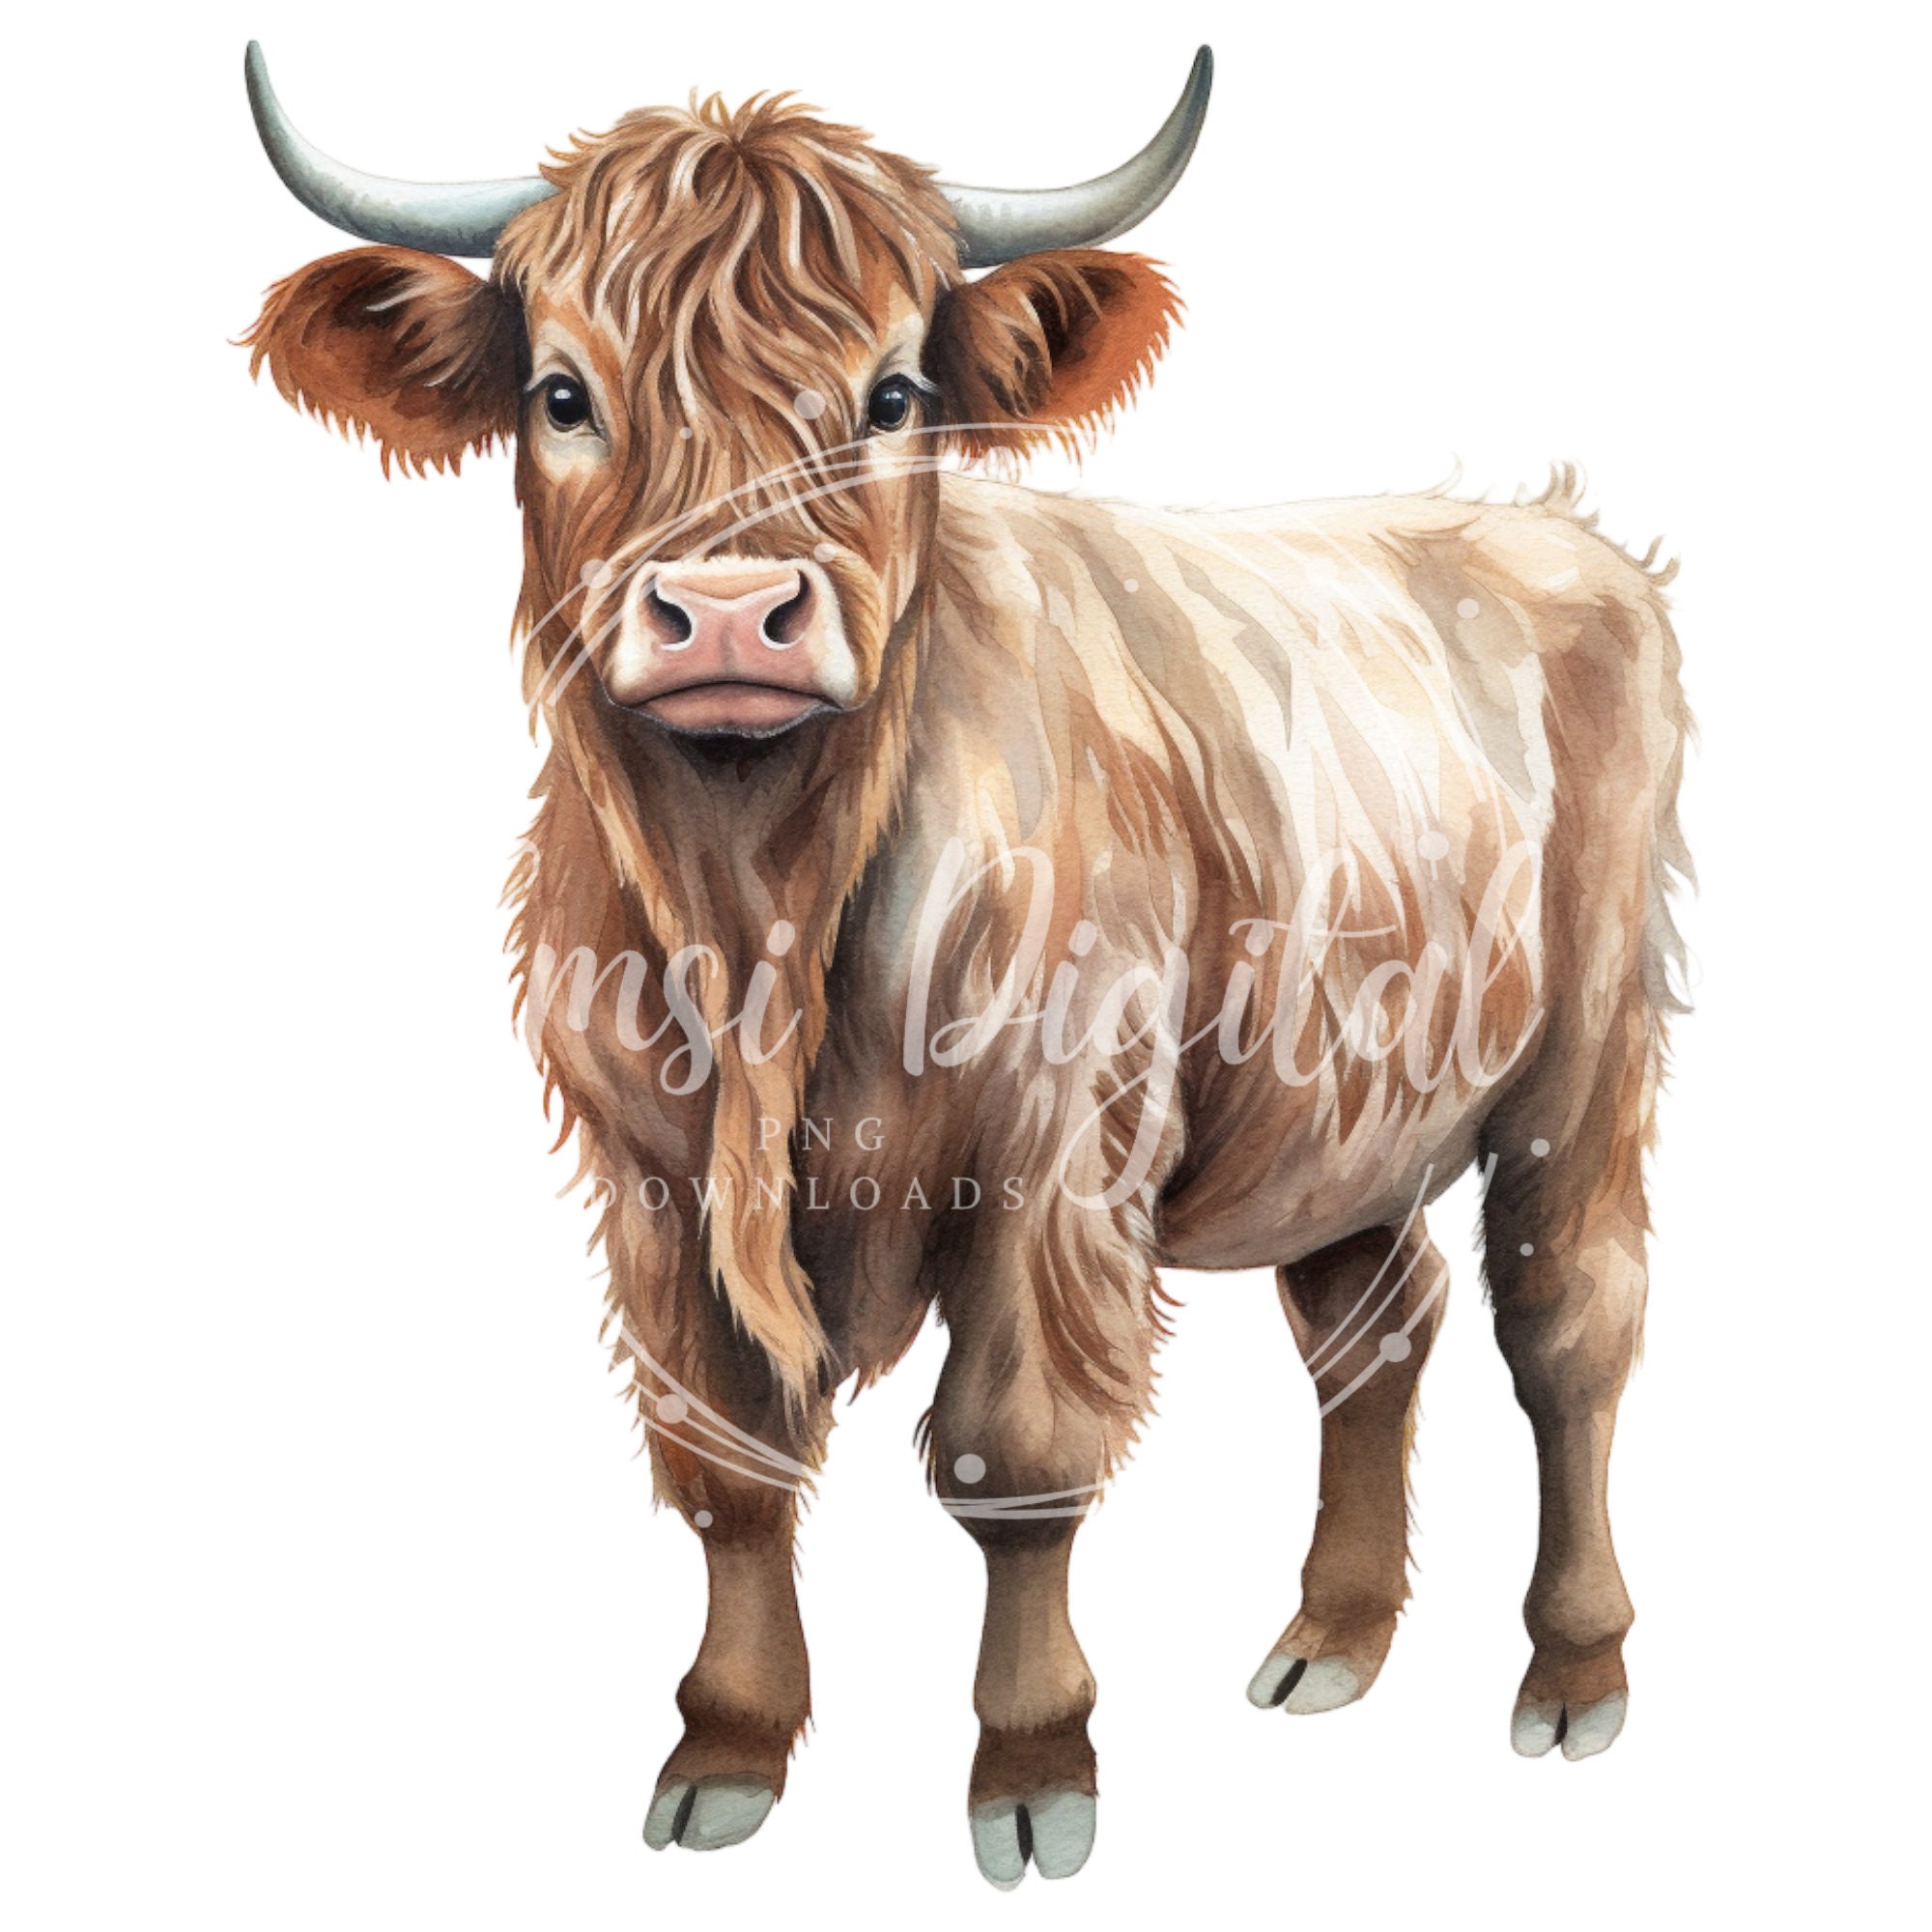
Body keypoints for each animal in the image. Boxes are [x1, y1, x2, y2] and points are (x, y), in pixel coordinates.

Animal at [241, 41, 1691, 1886]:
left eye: (894, 391)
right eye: (561, 394)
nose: (731, 614)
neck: (765, 906)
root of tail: (1549, 534)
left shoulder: (1055, 1157)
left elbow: (1015, 1452)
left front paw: (1034, 1769)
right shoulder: (649, 1179)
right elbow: (724, 1461)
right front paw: (726, 1747)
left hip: (1588, 1048)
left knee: (1567, 1323)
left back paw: (1575, 1669)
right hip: (1340, 1104)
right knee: (1377, 1327)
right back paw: (1334, 1640)